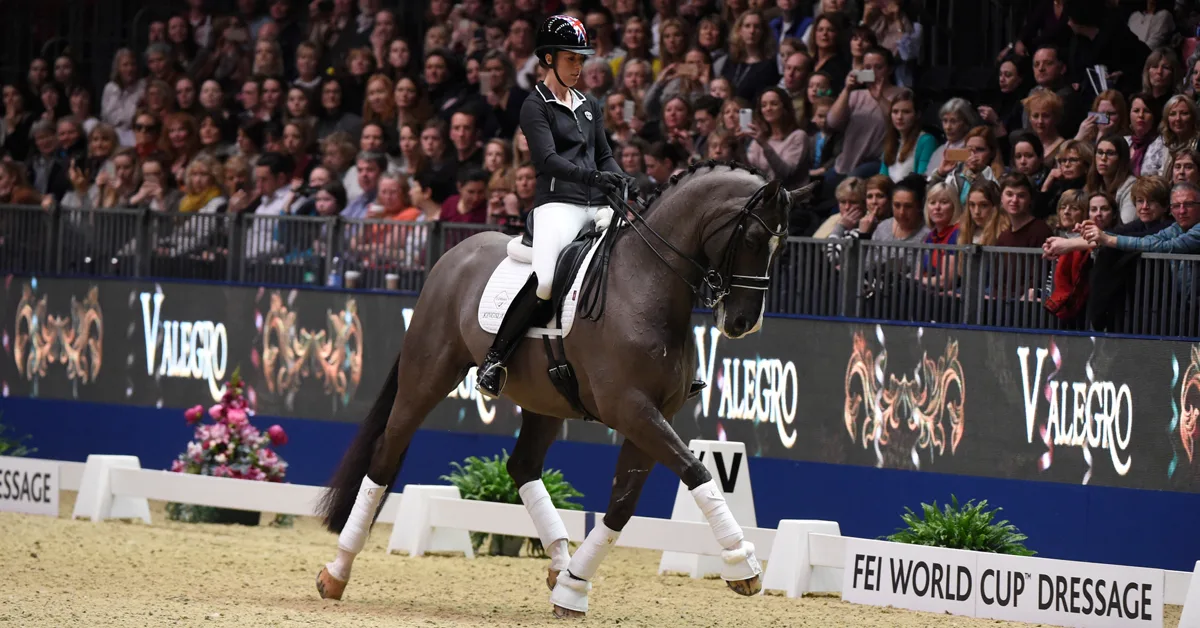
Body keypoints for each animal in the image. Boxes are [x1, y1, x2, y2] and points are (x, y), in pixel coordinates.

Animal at [313, 161, 810, 618]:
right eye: (751, 239)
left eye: (783, 247)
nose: (743, 323)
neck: (646, 284)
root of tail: (454, 256)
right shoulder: (631, 409)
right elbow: (698, 471)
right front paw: (741, 563)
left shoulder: (654, 416)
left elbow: (623, 505)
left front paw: (572, 586)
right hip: (426, 377)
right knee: (386, 453)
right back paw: (336, 571)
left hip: (544, 402)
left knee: (522, 466)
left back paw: (559, 560)